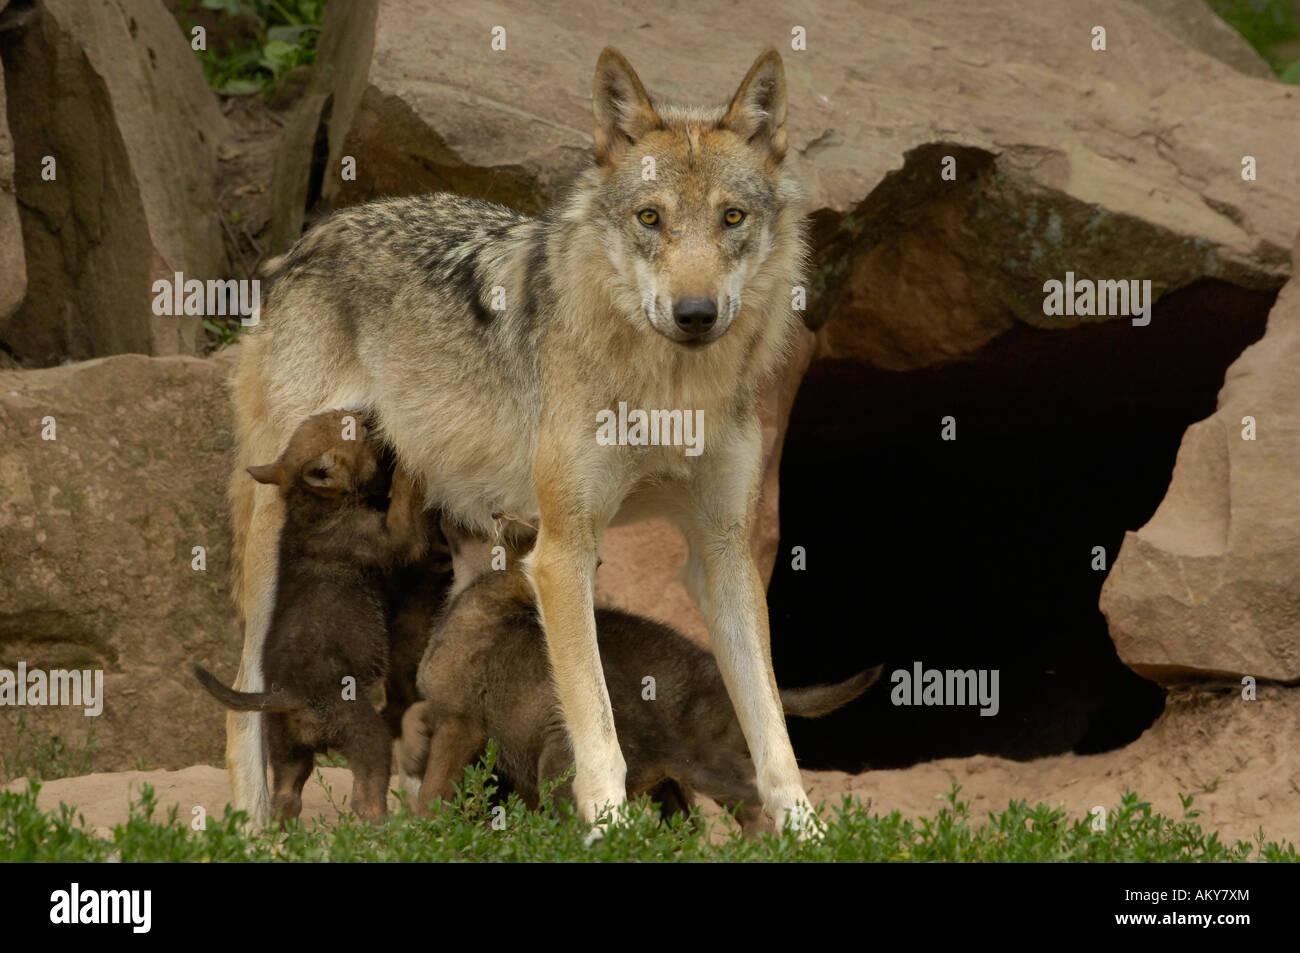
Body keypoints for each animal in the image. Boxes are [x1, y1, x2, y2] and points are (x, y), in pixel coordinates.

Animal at [227, 47, 811, 830]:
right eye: (650, 218)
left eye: (732, 217)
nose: (695, 313)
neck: (670, 393)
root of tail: (306, 241)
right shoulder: (564, 552)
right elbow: (598, 731)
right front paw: (610, 831)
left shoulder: (722, 551)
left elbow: (772, 735)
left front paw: (812, 831)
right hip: (273, 545)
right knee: (243, 694)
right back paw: (250, 830)